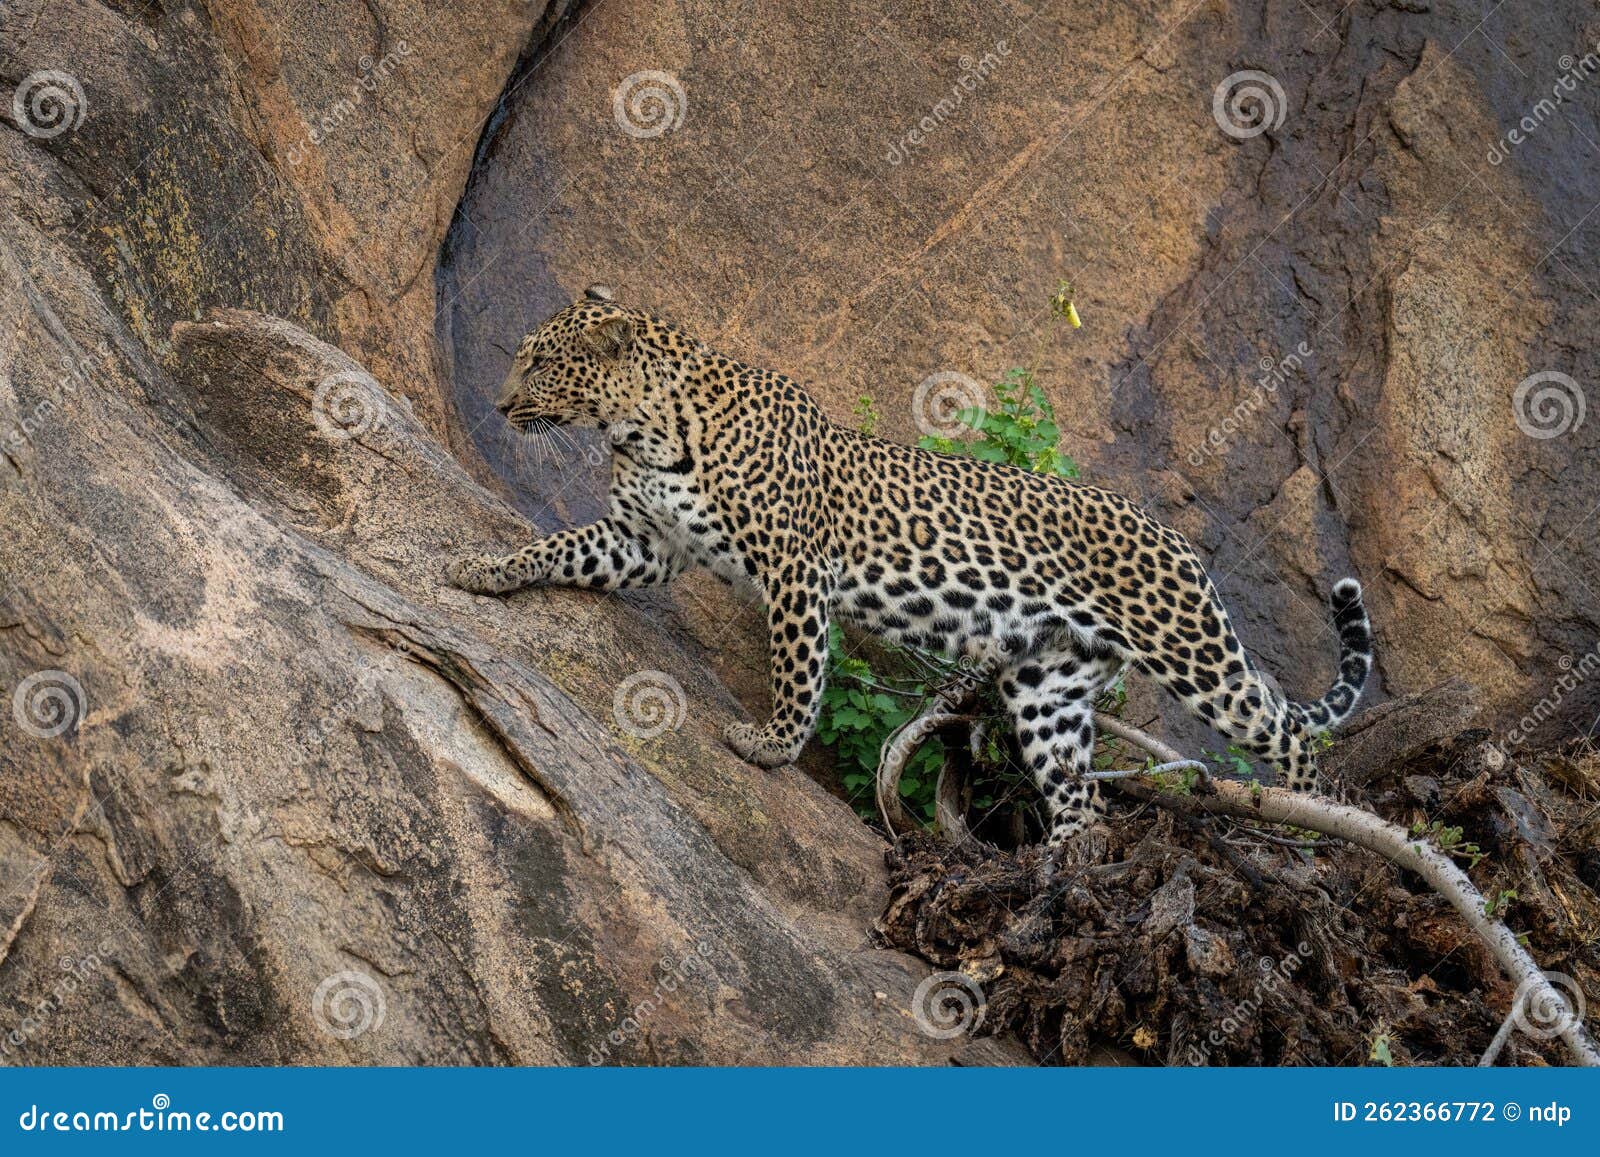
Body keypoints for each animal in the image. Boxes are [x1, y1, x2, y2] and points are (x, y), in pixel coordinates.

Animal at [449, 285, 1374, 845]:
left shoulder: (795, 568)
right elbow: (558, 547)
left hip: (1193, 655)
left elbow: (797, 673)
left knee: (1291, 733)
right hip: (1047, 686)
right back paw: (1059, 876)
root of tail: (1180, 541)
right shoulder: (644, 541)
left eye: (539, 360)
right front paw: (483, 567)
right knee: (1082, 794)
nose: (498, 403)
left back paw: (1312, 823)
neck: (644, 428)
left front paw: (771, 748)